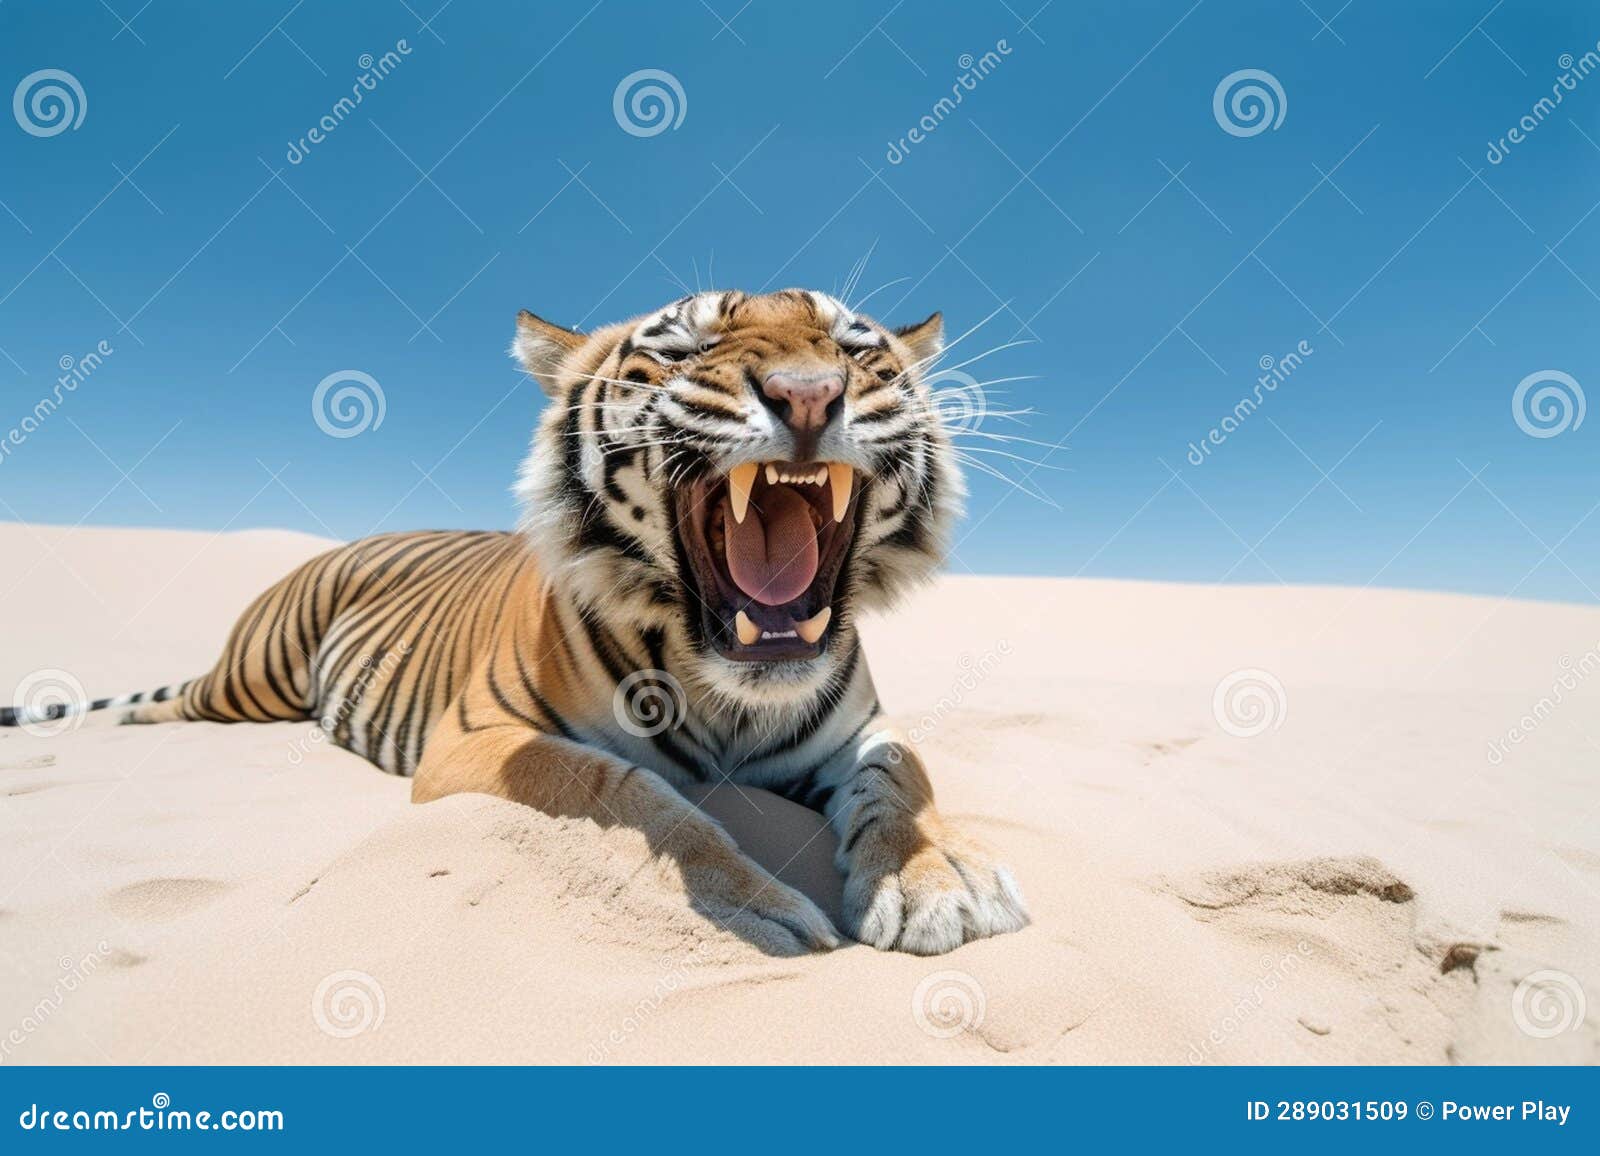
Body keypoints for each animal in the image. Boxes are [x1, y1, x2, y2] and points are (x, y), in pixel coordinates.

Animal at [2, 289, 1029, 955]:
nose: (810, 391)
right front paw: (752, 910)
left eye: (859, 351)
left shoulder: (860, 728)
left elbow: (902, 776)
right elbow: (625, 790)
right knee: (176, 703)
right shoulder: (483, 739)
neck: (730, 693)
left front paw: (940, 882)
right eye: (681, 350)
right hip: (253, 677)